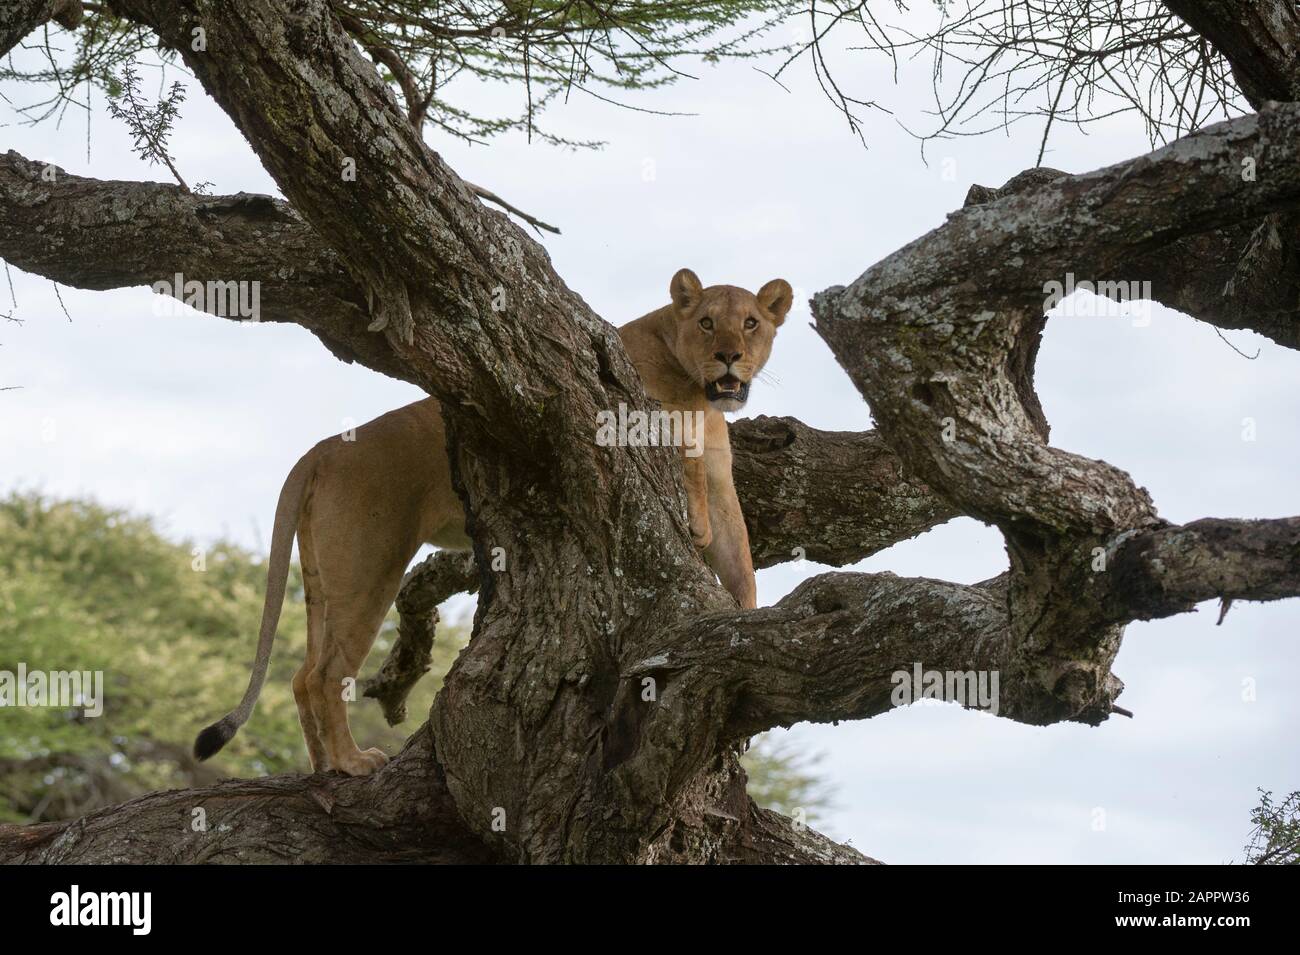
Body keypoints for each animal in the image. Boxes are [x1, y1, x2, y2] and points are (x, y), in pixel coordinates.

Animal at [193, 268, 791, 775]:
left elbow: (741, 566)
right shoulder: (625, 416)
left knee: (300, 676)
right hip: (368, 567)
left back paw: (321, 767)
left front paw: (743, 633)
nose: (729, 356)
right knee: (323, 676)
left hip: (324, 575)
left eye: (751, 322)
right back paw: (352, 762)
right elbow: (680, 463)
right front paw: (695, 527)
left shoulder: (723, 487)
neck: (698, 393)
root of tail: (321, 449)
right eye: (707, 322)